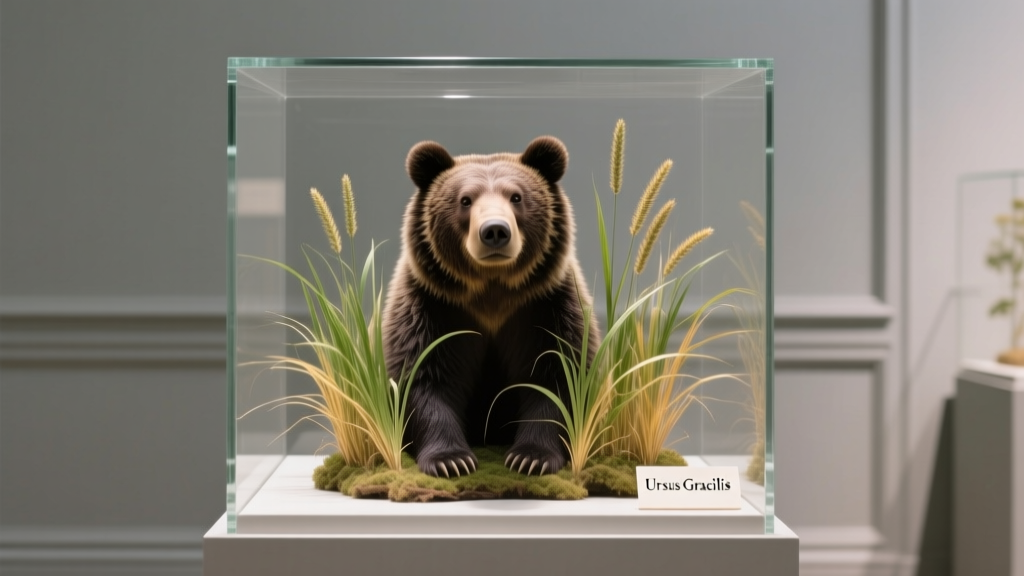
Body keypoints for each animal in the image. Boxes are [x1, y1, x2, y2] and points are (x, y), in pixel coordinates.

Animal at [381, 136, 599, 478]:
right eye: (465, 200)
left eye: (516, 197)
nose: (495, 230)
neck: (491, 294)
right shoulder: (431, 307)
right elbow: (423, 376)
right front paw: (451, 460)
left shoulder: (548, 306)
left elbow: (558, 375)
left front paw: (530, 457)